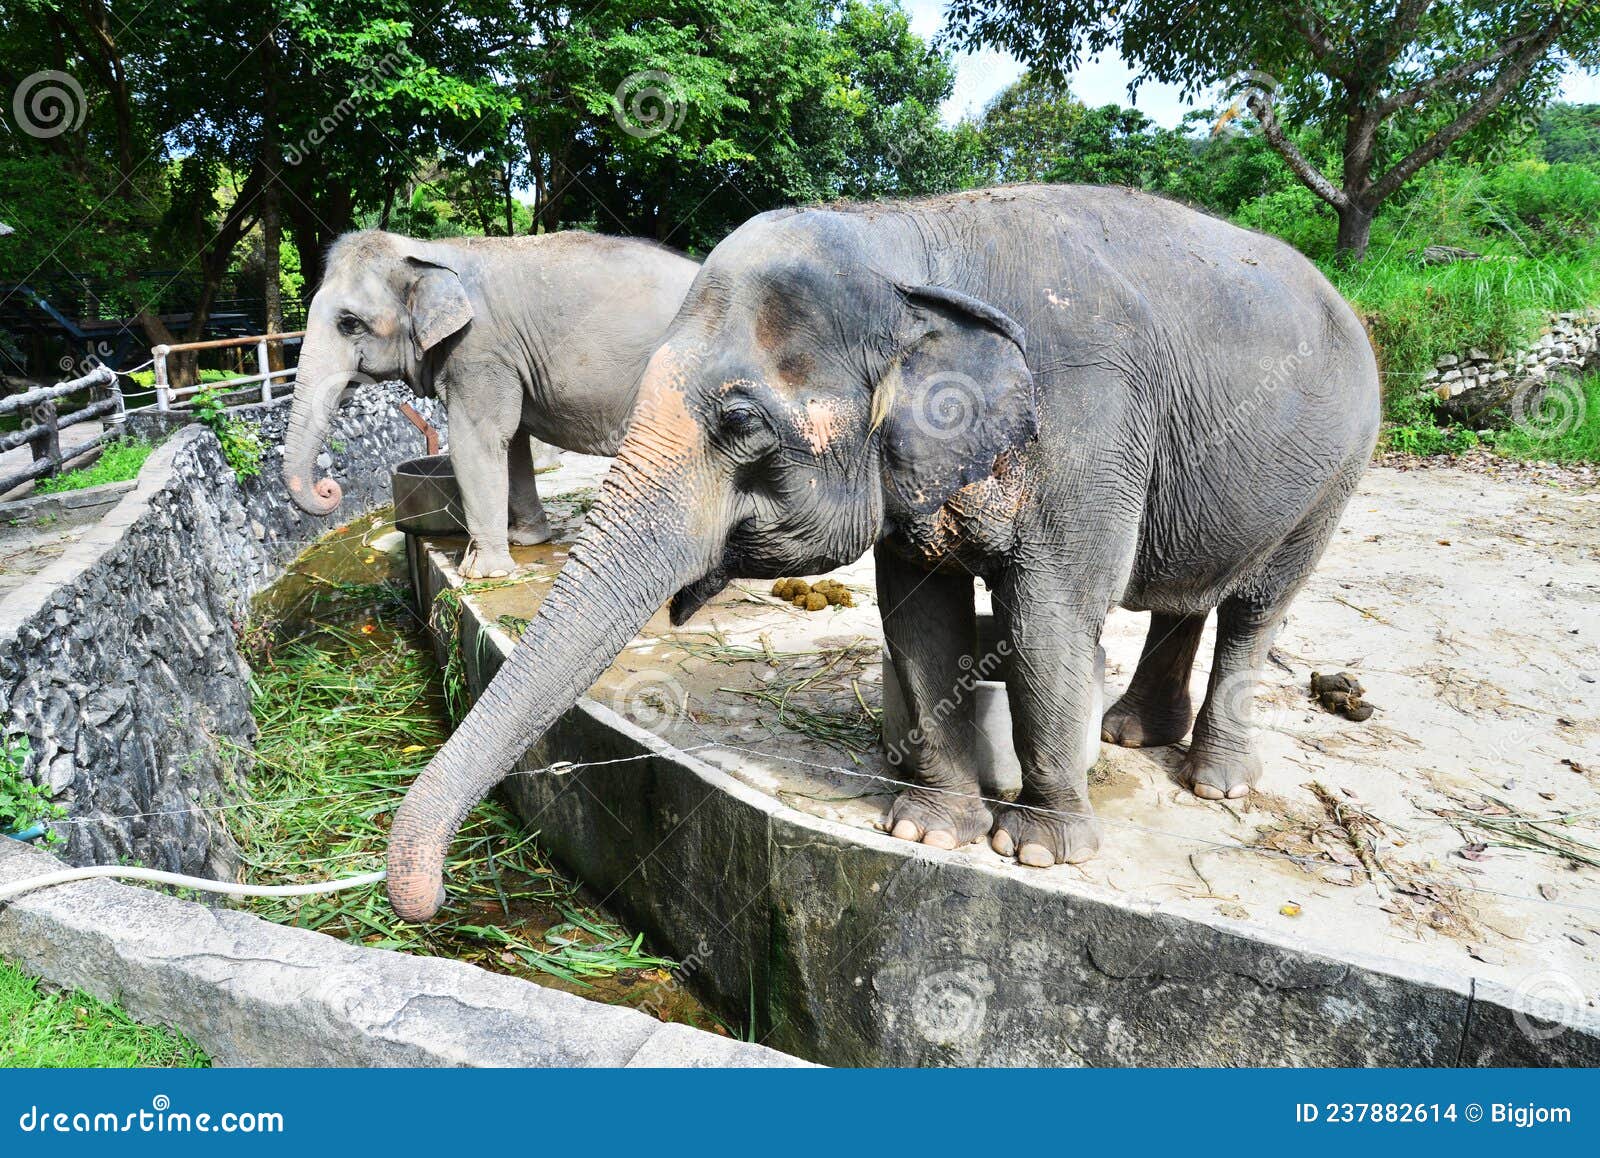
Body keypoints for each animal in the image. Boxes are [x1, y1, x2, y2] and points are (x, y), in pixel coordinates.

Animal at [281, 229, 700, 577]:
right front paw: (525, 541)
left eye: (349, 323)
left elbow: (478, 441)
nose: (329, 490)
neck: (428, 250)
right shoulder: (505, 360)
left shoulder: (479, 350)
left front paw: (481, 573)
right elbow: (510, 440)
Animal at [384, 184, 1381, 922]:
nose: (423, 900)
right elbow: (918, 616)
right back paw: (1130, 734)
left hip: (1336, 471)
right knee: (1188, 596)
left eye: (742, 425)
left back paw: (1216, 782)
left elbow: (1048, 619)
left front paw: (1039, 851)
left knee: (1257, 607)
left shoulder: (1089, 430)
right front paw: (930, 834)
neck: (912, 239)